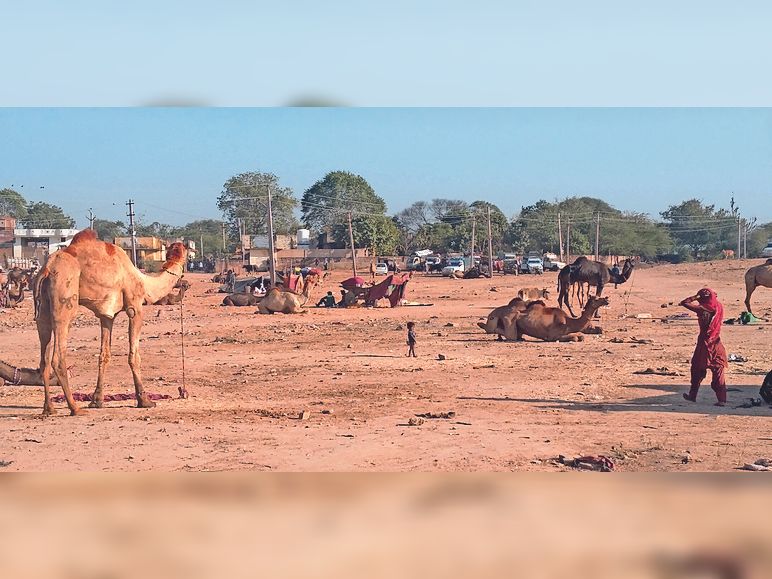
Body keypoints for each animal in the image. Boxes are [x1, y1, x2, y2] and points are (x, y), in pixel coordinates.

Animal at [34, 229, 187, 415]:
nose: (184, 282)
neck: (143, 282)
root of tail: (47, 268)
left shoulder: (107, 317)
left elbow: (104, 355)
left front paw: (96, 400)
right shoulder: (135, 307)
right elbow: (134, 355)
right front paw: (145, 400)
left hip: (42, 308)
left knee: (44, 357)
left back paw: (49, 408)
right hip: (64, 296)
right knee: (58, 355)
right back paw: (75, 408)